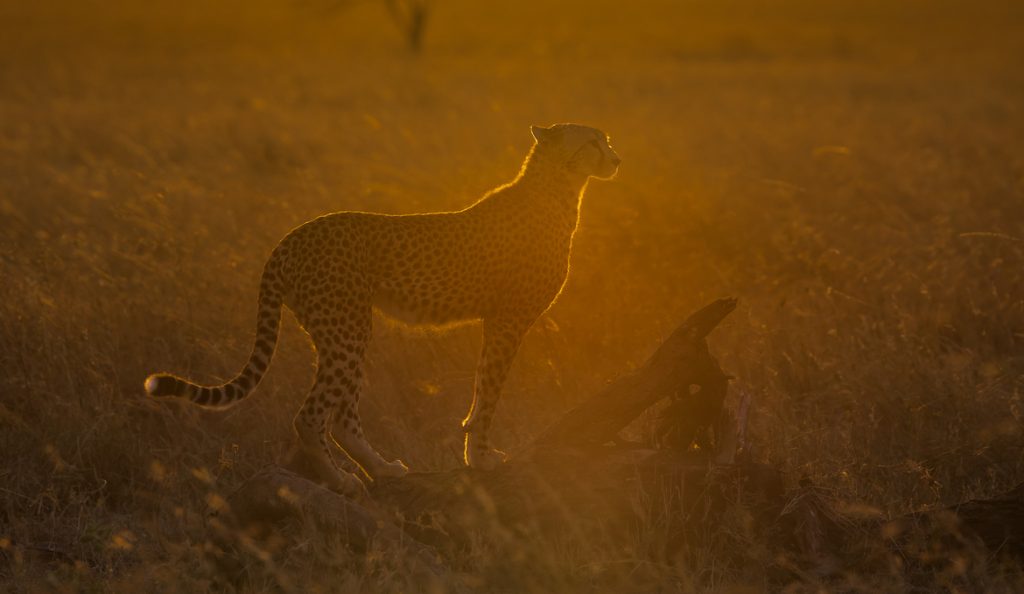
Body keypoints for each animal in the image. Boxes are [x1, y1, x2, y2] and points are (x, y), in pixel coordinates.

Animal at [144, 123, 620, 496]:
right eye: (593, 142)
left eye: (606, 140)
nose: (616, 158)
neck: (559, 187)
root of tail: (290, 237)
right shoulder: (508, 320)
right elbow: (489, 393)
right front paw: (482, 456)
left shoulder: (497, 321)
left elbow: (480, 387)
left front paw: (473, 450)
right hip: (348, 329)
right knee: (311, 415)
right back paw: (341, 481)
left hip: (343, 330)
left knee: (341, 415)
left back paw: (381, 468)